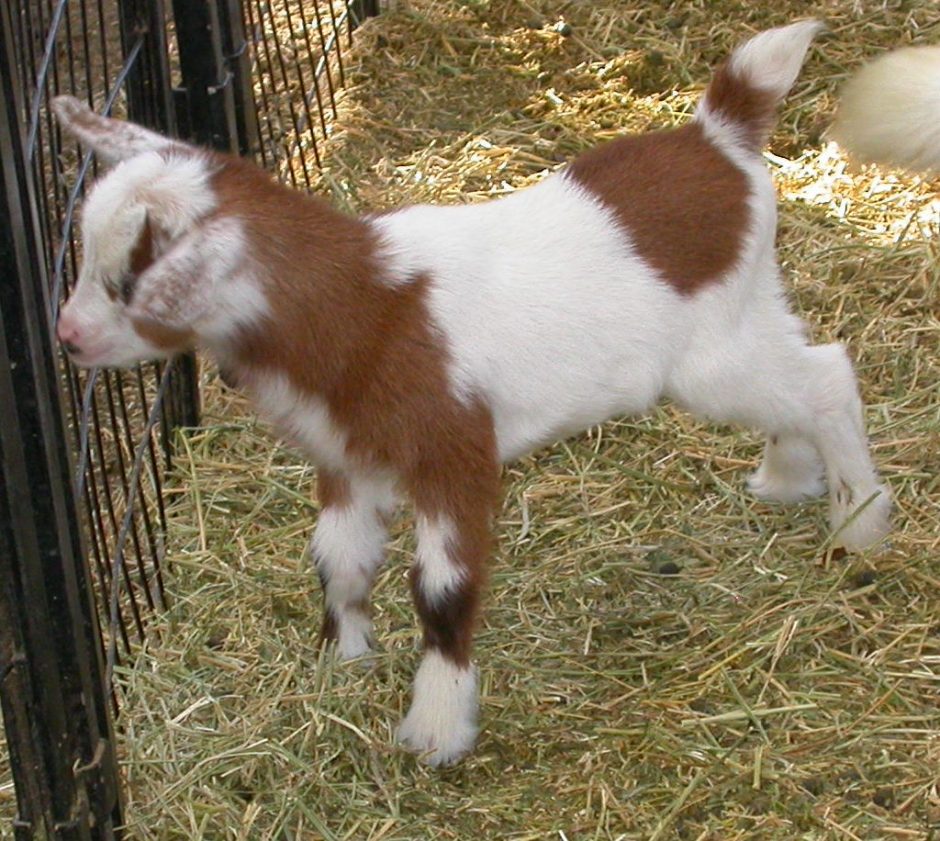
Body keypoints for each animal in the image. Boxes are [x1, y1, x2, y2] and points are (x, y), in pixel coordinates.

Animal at [53, 19, 890, 766]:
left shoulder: (454, 452)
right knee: (805, 370)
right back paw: (789, 477)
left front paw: (436, 728)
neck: (371, 304)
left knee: (825, 378)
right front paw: (343, 659)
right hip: (750, 306)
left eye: (126, 279)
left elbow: (442, 592)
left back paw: (858, 522)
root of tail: (720, 135)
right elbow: (339, 560)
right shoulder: (349, 458)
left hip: (709, 356)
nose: (66, 336)